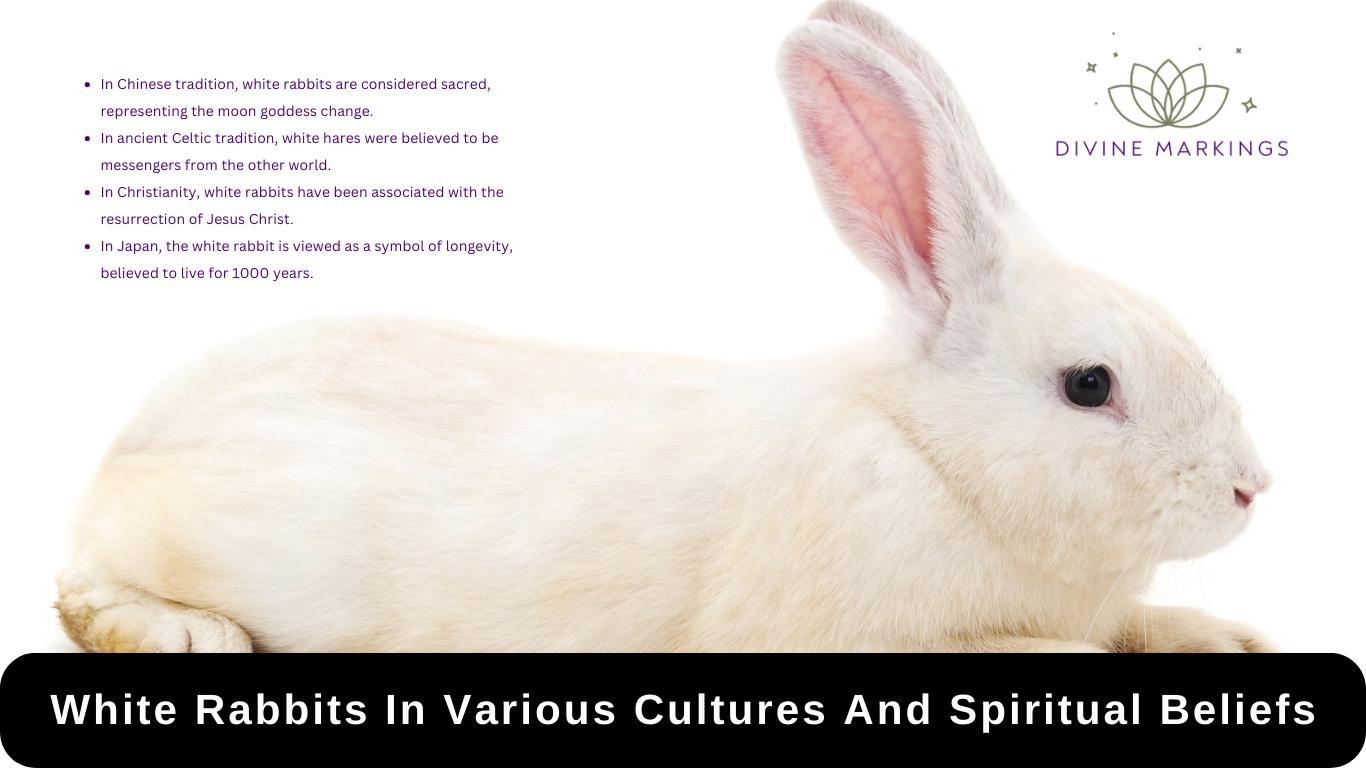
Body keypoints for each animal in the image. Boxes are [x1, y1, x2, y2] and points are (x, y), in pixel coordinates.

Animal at [56, 0, 1273, 653]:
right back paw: (184, 633)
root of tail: (128, 441)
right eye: (1088, 385)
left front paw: (1223, 638)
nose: (1250, 490)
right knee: (82, 586)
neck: (932, 456)